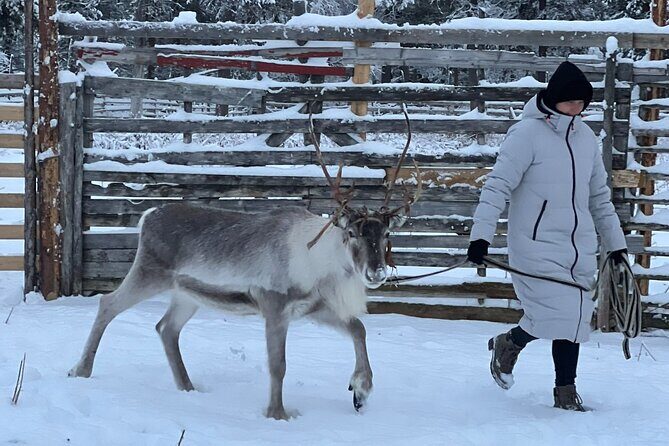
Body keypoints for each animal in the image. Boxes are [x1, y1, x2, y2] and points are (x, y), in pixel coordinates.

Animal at [68, 106, 420, 420]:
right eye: (351, 233)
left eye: (387, 232)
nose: (376, 271)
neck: (321, 266)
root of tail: (147, 216)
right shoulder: (274, 306)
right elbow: (278, 365)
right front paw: (277, 414)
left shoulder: (313, 308)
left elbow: (359, 328)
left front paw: (361, 391)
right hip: (149, 273)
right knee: (108, 304)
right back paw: (80, 370)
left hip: (186, 293)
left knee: (166, 328)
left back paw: (188, 387)